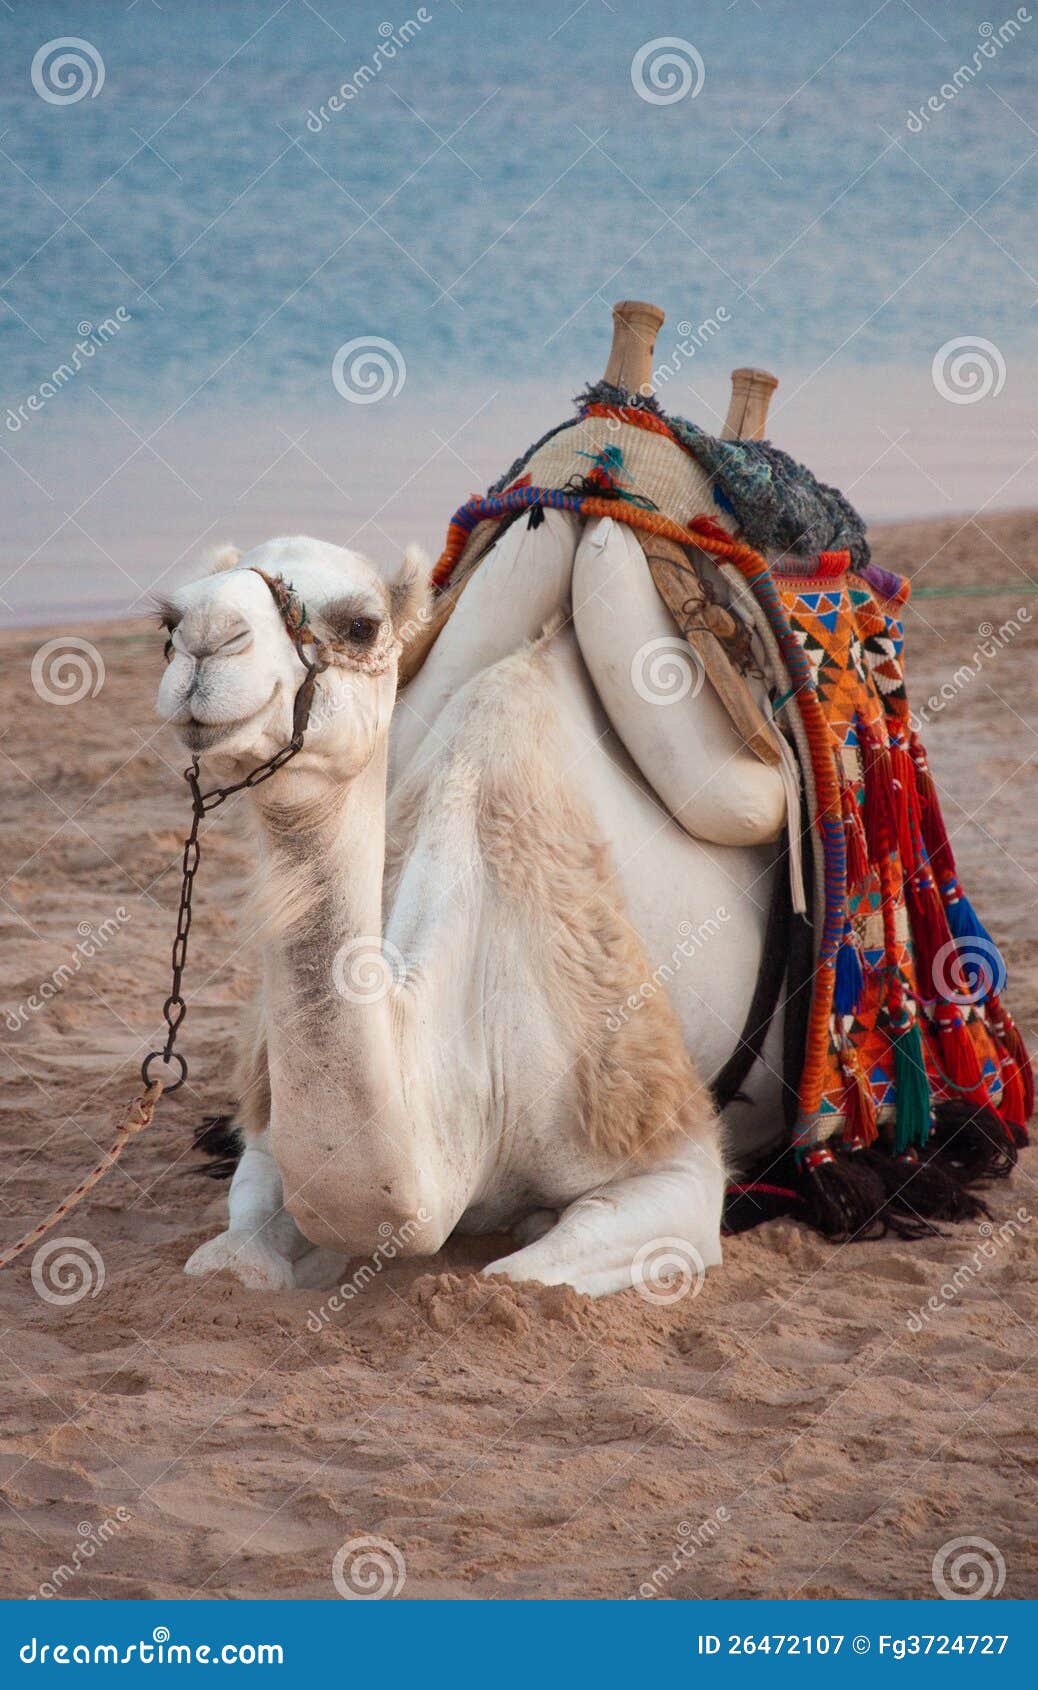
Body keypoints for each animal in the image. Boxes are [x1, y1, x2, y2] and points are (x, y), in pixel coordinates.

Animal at [159, 309, 794, 1298]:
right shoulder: (269, 1148)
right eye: (165, 620)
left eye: (361, 625)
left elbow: (517, 1280)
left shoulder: (670, 1152)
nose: (203, 640)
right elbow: (231, 1263)